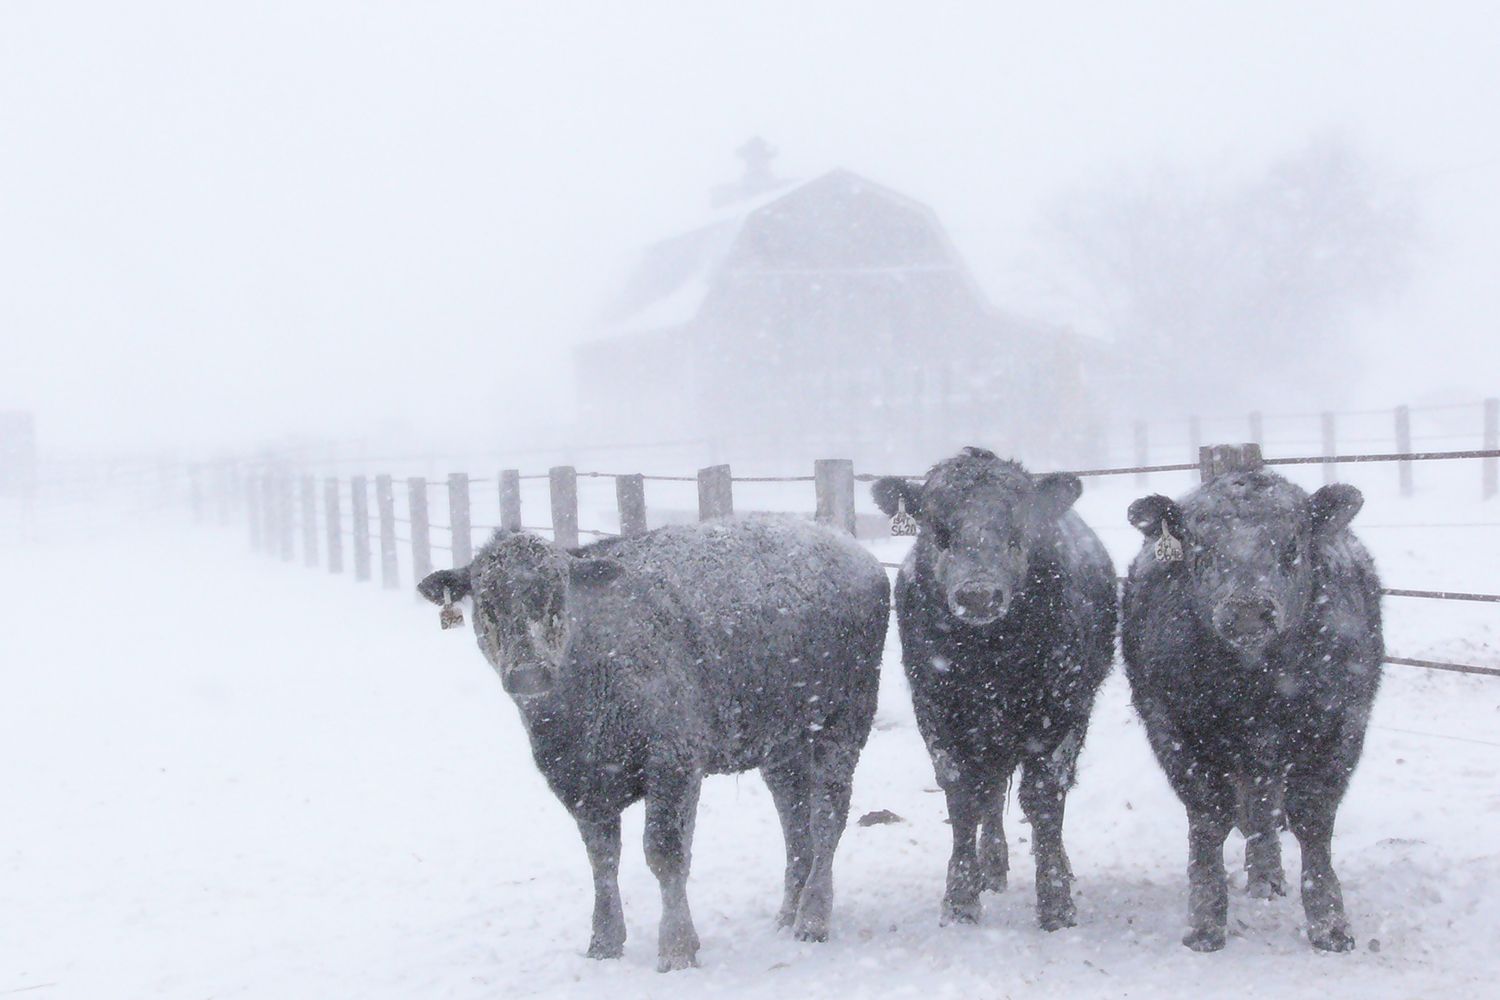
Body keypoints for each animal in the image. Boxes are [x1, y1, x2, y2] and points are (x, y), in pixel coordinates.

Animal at [418, 516, 889, 971]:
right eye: (486, 601)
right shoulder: (581, 785)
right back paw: (787, 914)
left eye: (556, 593)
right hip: (783, 746)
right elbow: (602, 859)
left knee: (827, 817)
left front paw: (677, 948)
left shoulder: (673, 765)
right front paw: (604, 944)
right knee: (794, 823)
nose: (529, 674)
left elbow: (664, 853)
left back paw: (812, 919)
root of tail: (856, 552)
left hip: (841, 727)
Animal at [871, 447, 1116, 931]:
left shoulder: (1064, 709)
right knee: (989, 791)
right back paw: (993, 865)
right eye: (938, 529)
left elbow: (1045, 796)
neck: (991, 660)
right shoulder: (936, 708)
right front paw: (960, 898)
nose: (979, 595)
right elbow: (963, 794)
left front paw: (1056, 901)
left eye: (1019, 531)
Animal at [1121, 468, 1382, 952]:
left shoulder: (1340, 726)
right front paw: (1204, 921)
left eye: (1293, 546)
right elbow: (1209, 819)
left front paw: (1330, 923)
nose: (1245, 610)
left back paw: (1268, 877)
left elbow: (1313, 819)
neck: (1255, 686)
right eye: (1199, 548)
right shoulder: (1174, 730)